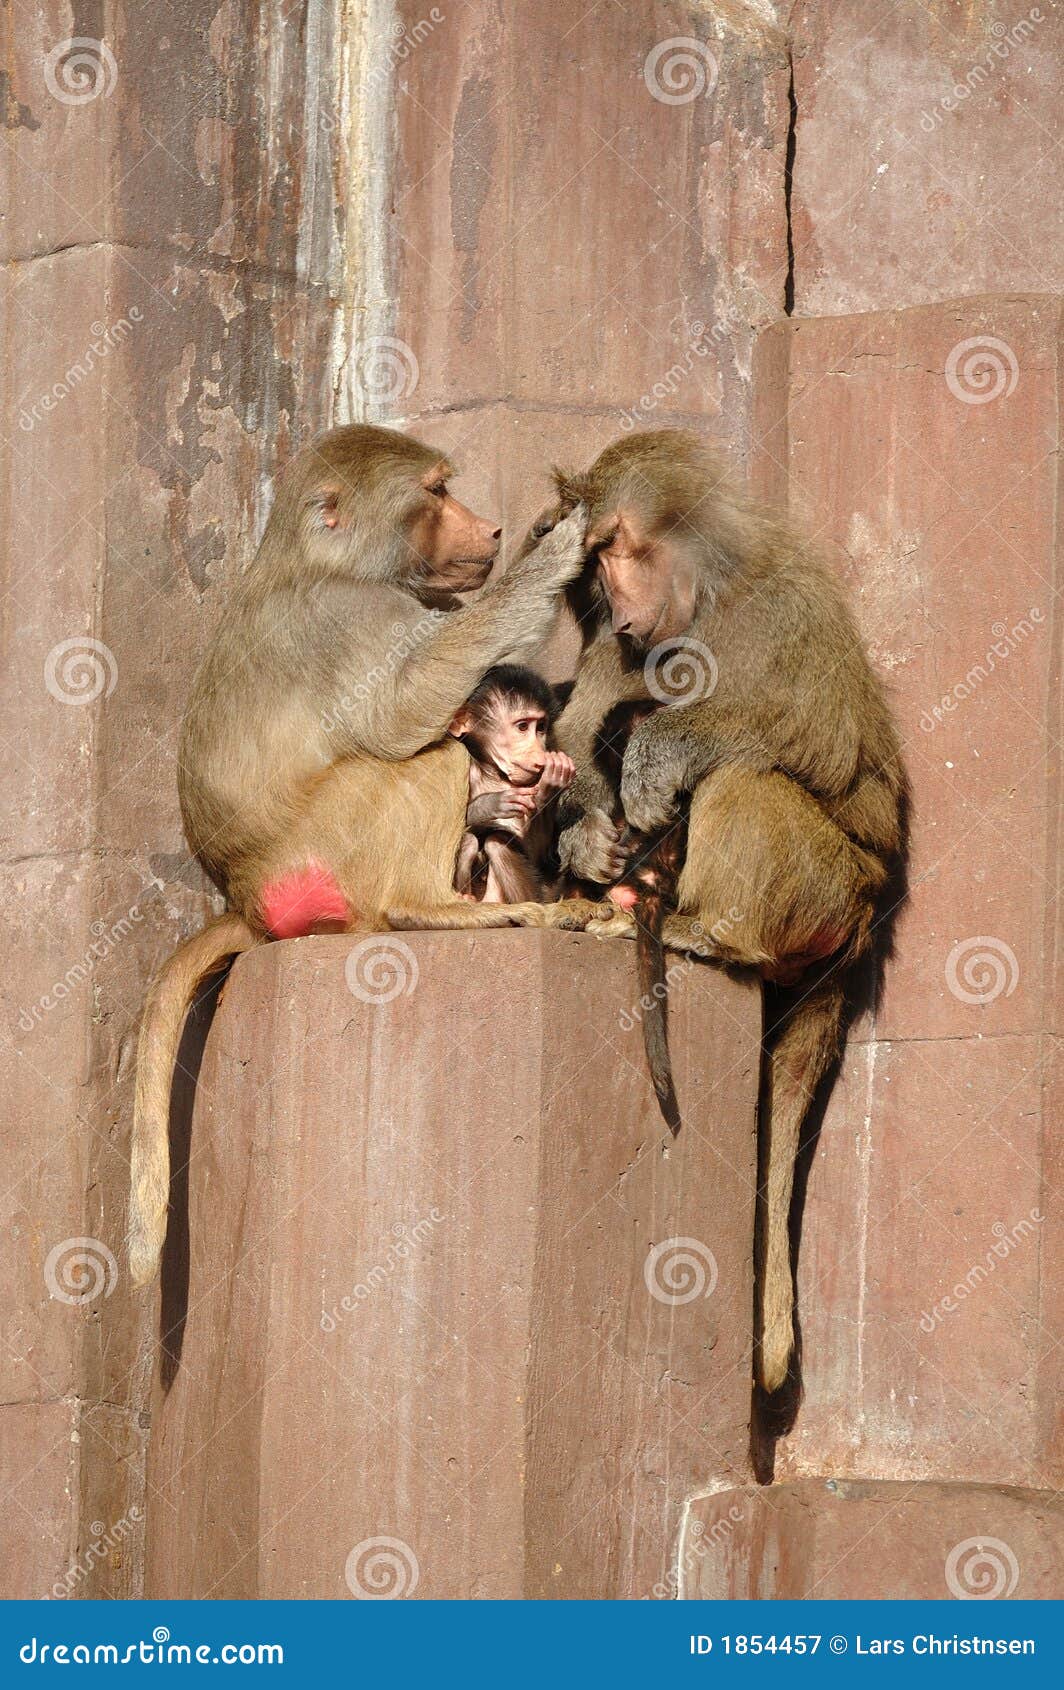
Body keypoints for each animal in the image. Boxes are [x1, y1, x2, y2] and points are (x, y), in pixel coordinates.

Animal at [450, 665, 575, 904]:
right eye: (523, 727)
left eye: (541, 728)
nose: (539, 750)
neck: (493, 772)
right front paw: (489, 805)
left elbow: (540, 853)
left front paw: (547, 788)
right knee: (470, 840)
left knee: (498, 841)